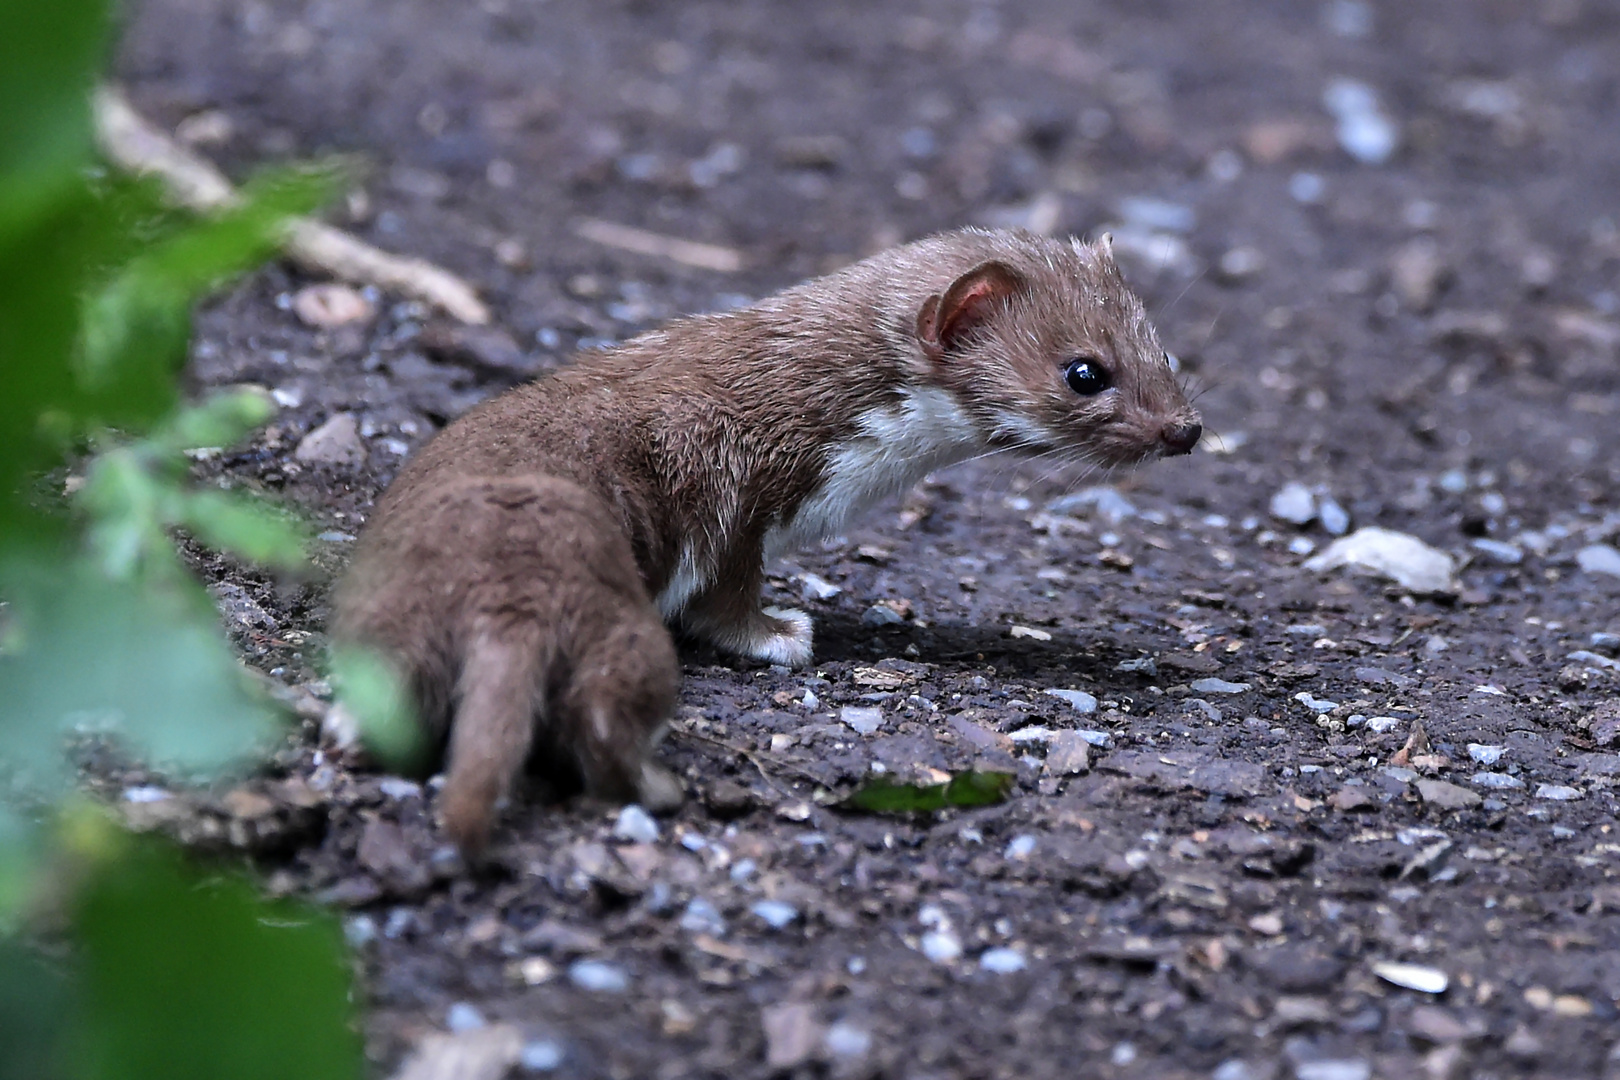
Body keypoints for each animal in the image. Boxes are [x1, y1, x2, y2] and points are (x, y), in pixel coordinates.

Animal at [332, 228, 1205, 854]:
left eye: (1163, 347)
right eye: (1084, 371)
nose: (1186, 429)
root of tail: (512, 588)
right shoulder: (733, 493)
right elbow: (725, 598)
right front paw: (782, 634)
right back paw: (657, 787)